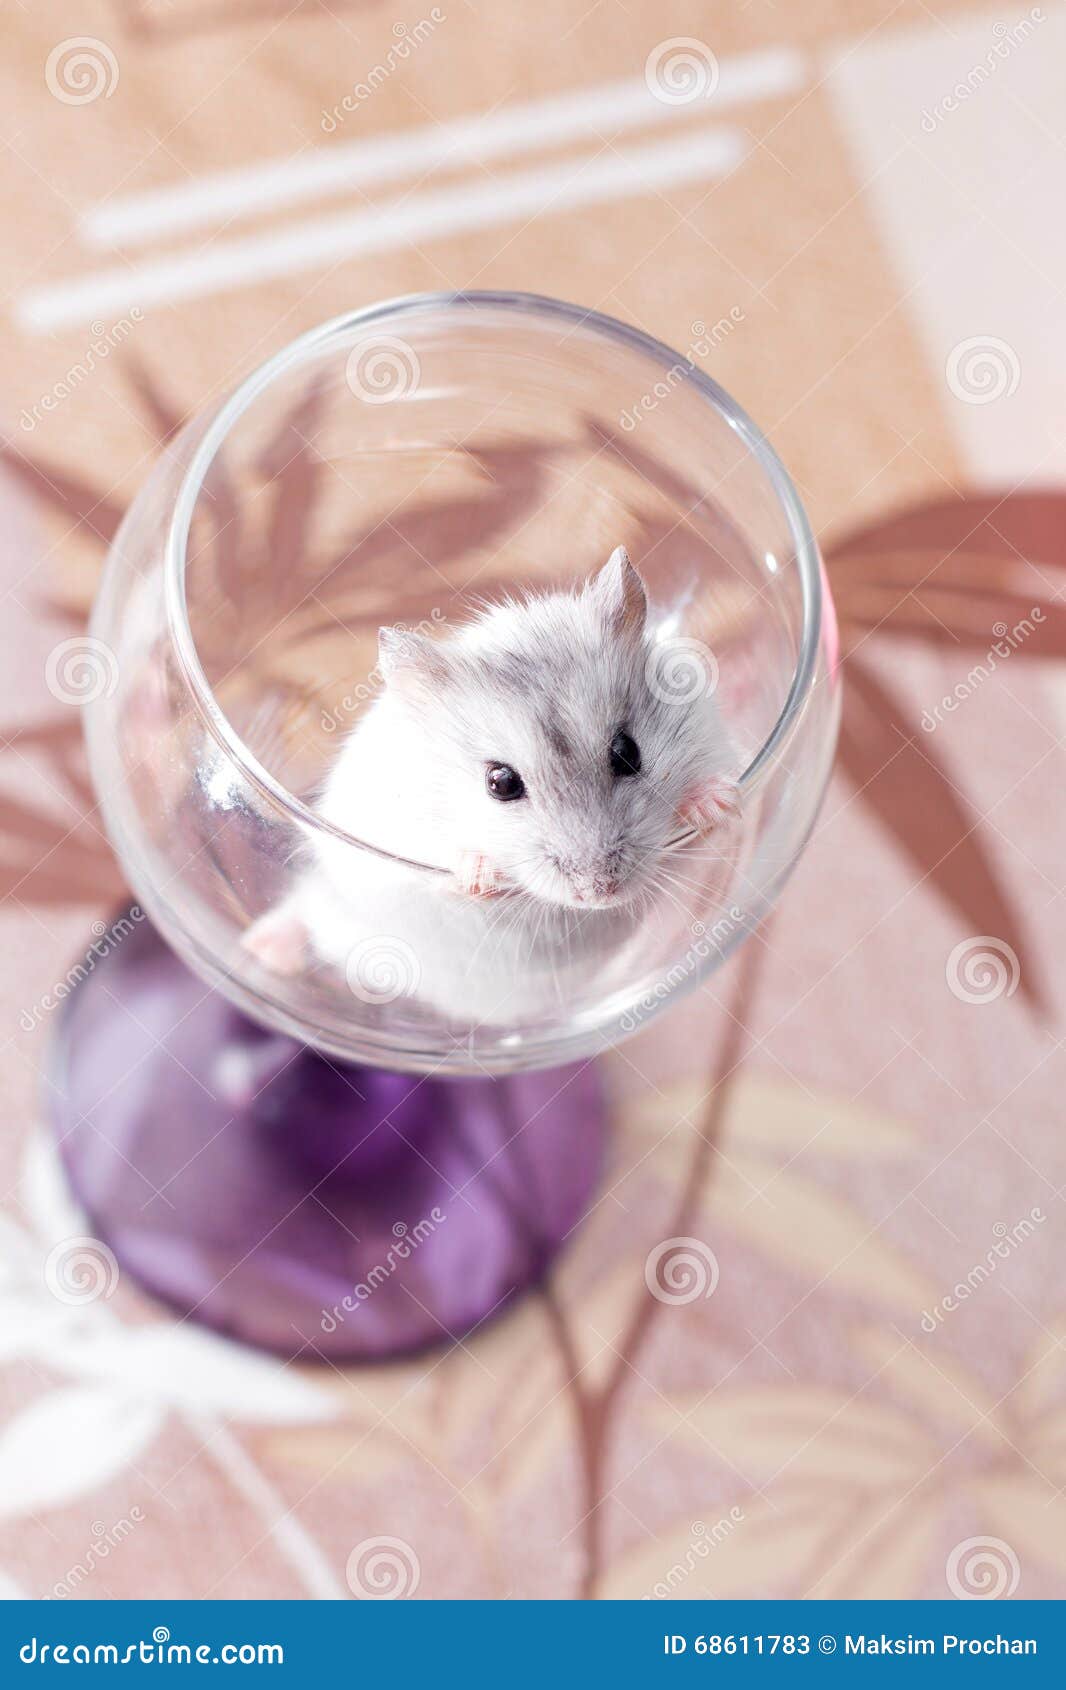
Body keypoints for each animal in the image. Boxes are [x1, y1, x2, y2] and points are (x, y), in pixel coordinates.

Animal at [244, 547, 740, 1024]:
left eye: (626, 753)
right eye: (500, 783)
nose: (600, 893)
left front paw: (721, 802)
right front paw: (478, 874)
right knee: (303, 909)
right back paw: (266, 952)